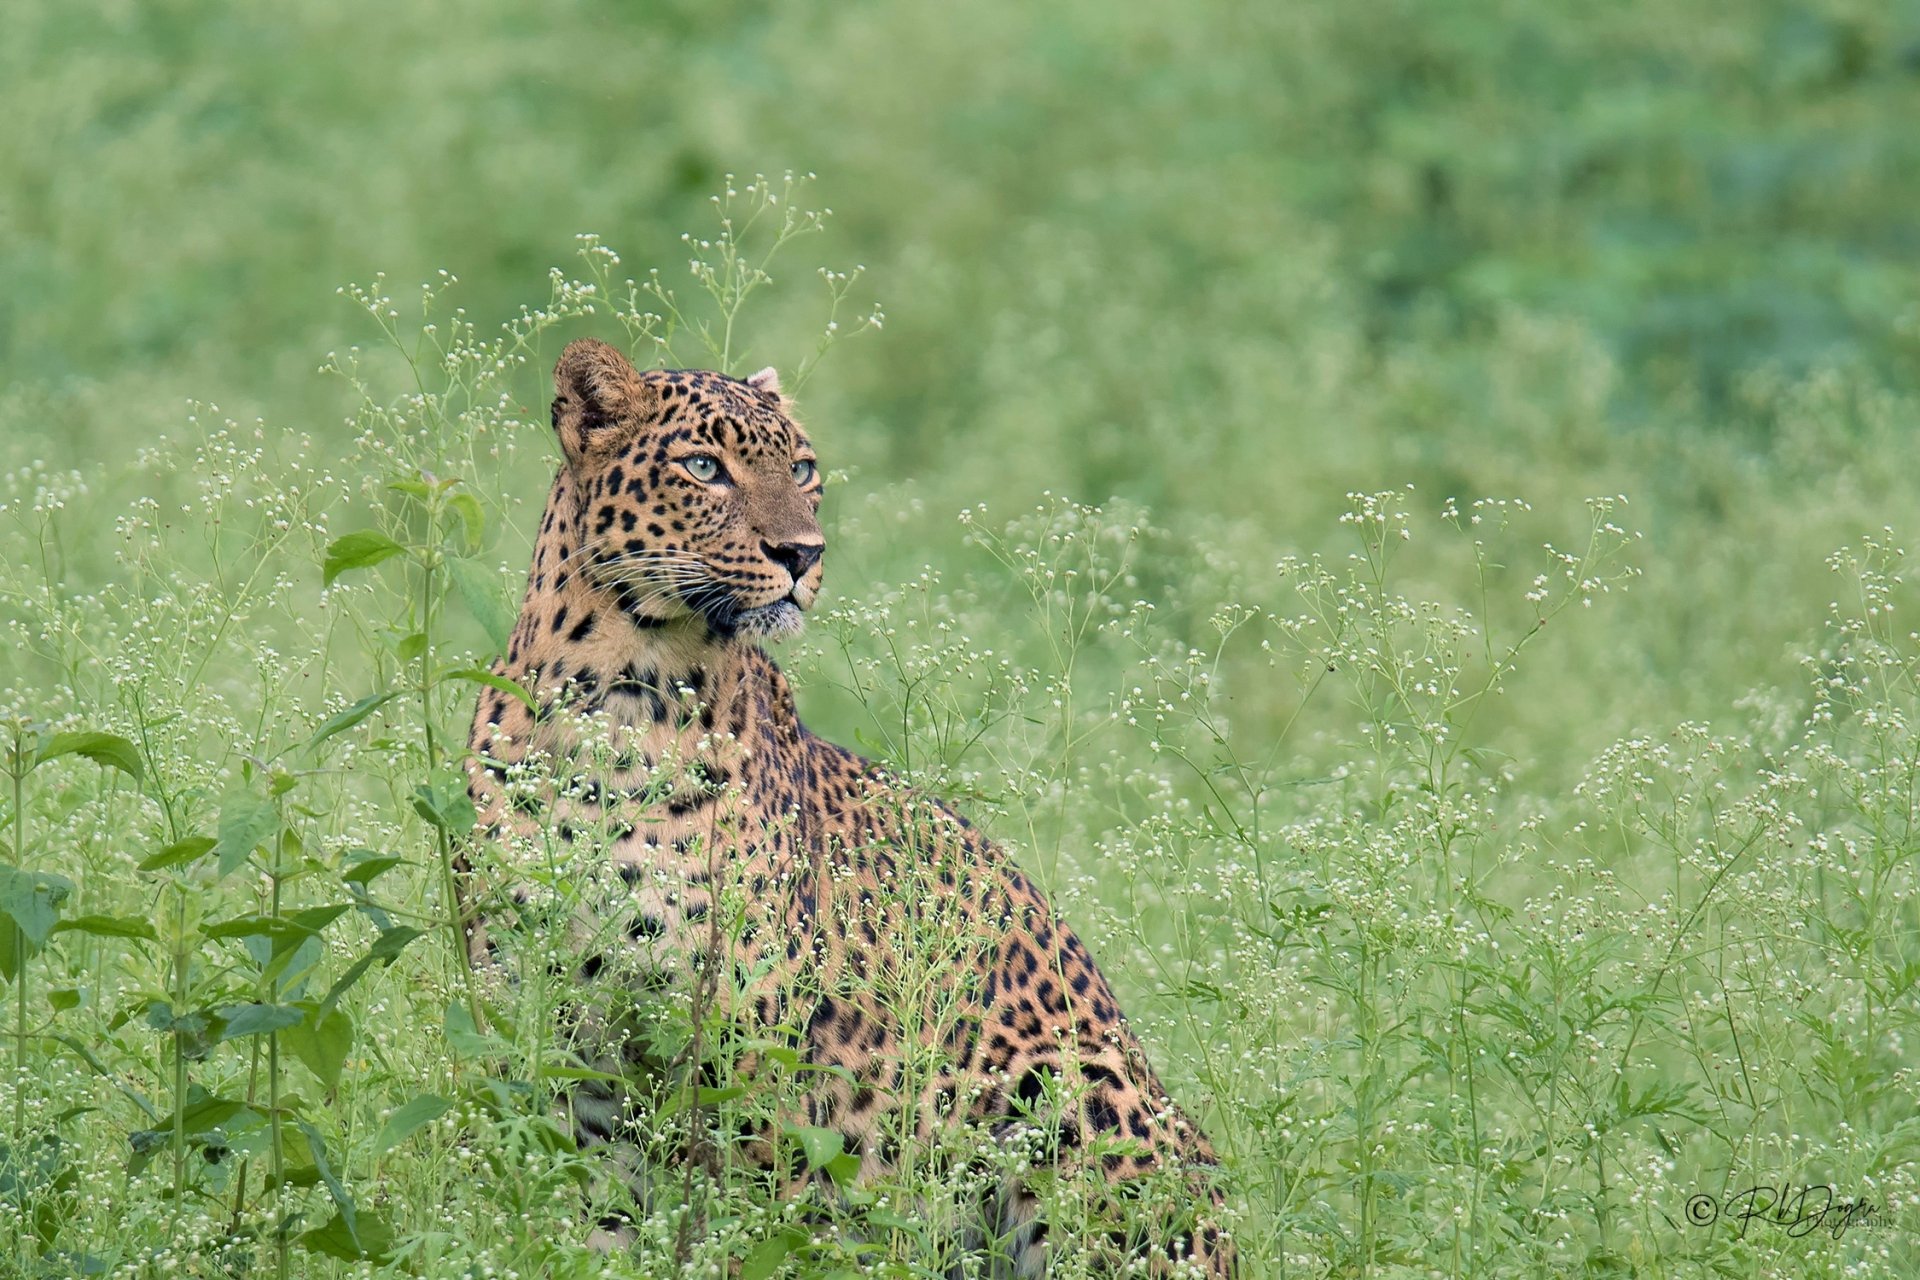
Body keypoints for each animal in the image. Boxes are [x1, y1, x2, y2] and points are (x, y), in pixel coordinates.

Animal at [460, 337, 1235, 1274]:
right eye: (703, 467)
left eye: (801, 468)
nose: (802, 553)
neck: (615, 699)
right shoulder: (544, 1036)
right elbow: (593, 1222)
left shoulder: (751, 1049)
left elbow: (745, 1222)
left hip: (1077, 1090)